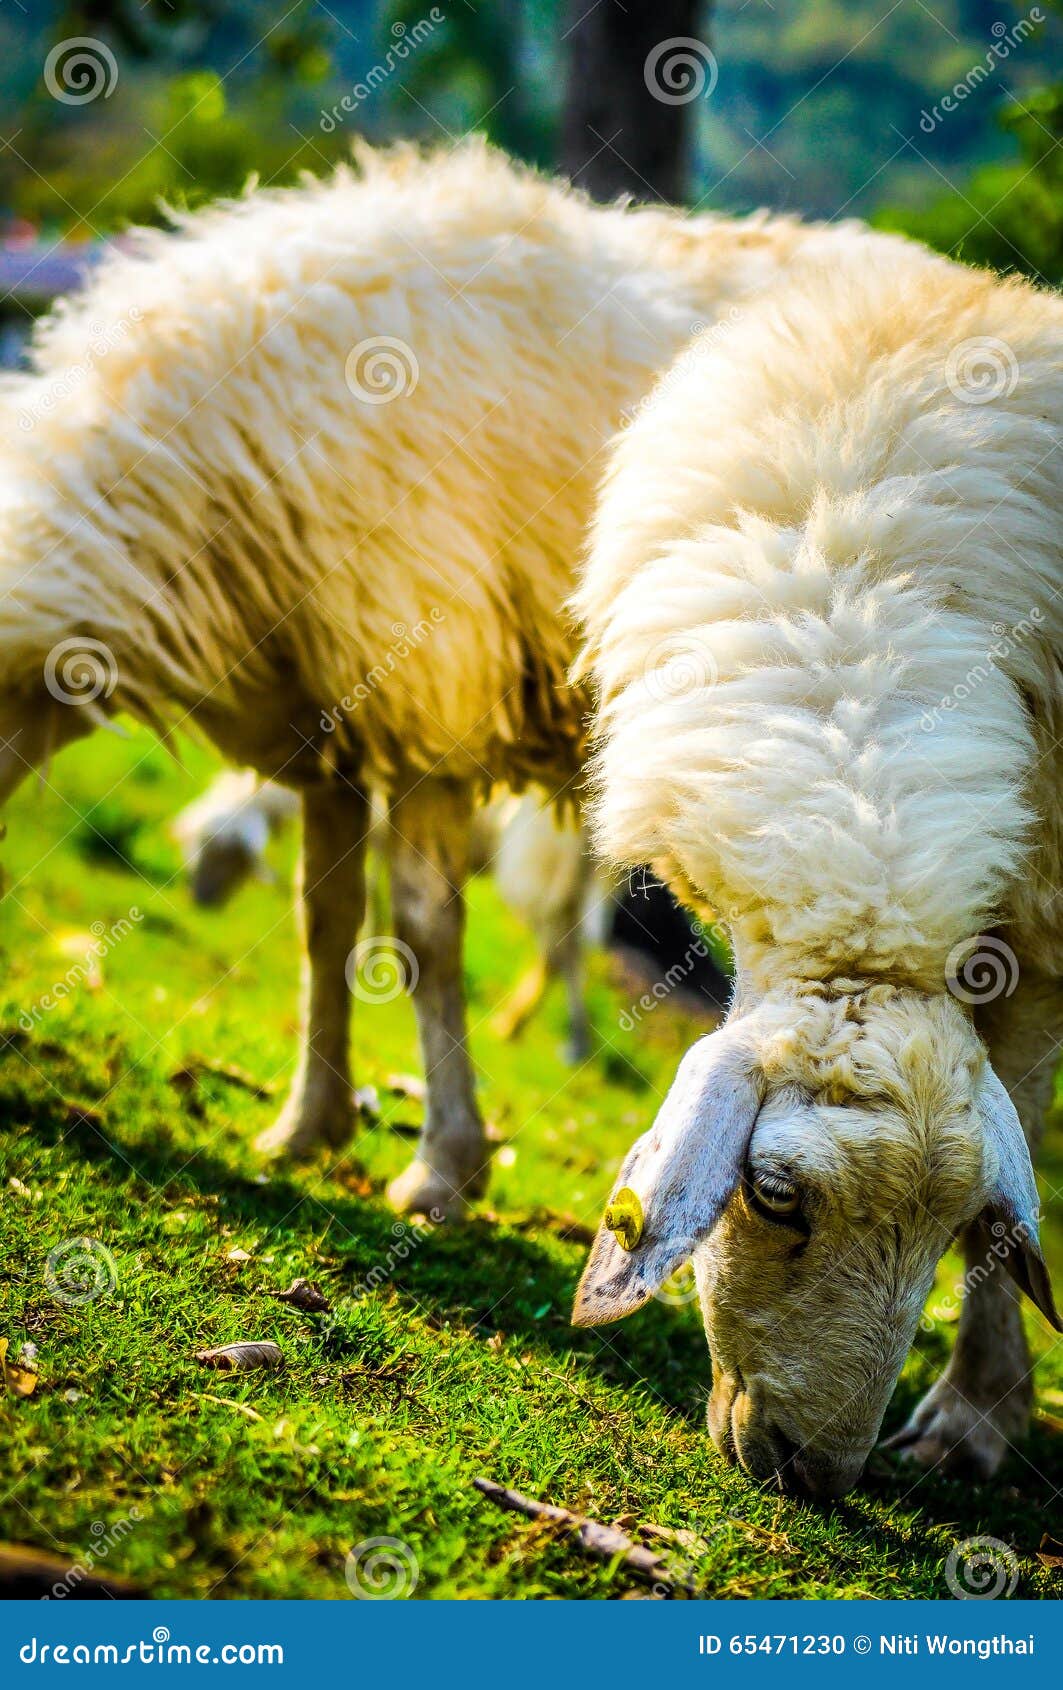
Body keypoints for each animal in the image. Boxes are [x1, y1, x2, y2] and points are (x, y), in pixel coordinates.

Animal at [0, 139, 895, 1220]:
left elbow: (422, 936)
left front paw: (442, 1167)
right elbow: (324, 921)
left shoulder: (428, 693)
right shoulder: (333, 717)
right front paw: (307, 1126)